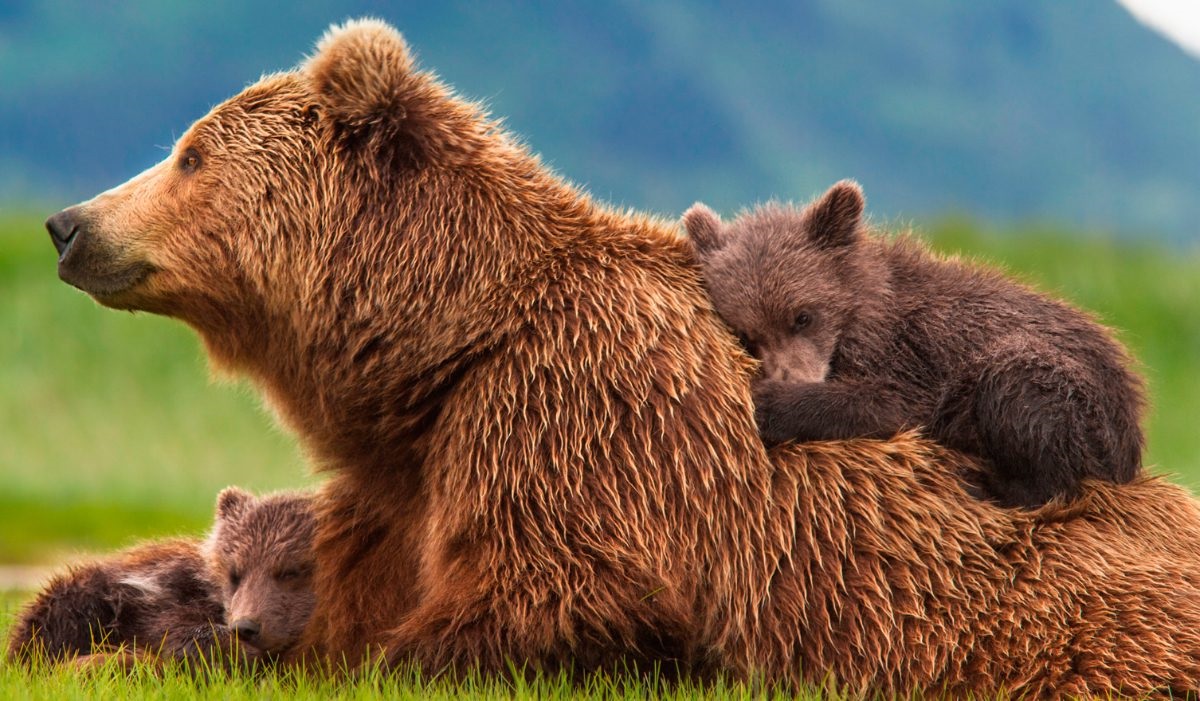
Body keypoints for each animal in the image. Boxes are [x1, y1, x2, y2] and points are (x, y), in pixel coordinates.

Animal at [681, 180, 1147, 508]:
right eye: (748, 334)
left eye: (802, 315)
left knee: (1020, 390)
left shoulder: (912, 355)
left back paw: (988, 483)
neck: (863, 312)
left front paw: (768, 402)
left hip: (1073, 396)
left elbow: (888, 404)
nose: (790, 376)